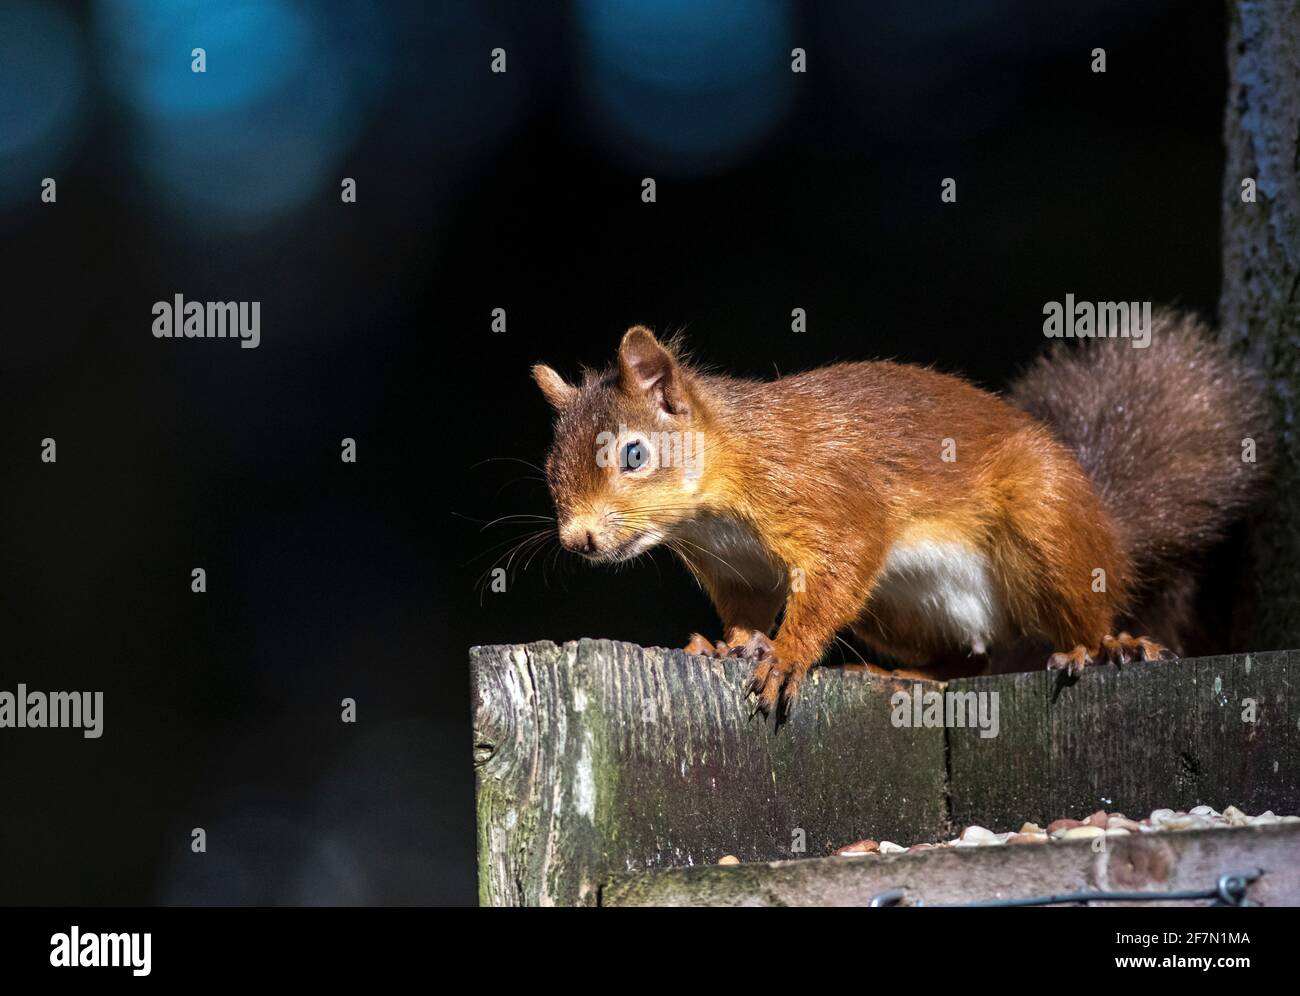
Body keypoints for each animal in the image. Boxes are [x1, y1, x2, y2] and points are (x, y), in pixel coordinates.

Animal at [532, 312, 1269, 718]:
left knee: (1083, 613)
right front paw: (731, 644)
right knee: (969, 661)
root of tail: (1107, 530)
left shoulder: (825, 496)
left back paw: (1109, 645)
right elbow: (748, 607)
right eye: (550, 466)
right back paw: (902, 675)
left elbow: (841, 561)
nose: (580, 539)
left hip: (1048, 523)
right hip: (901, 609)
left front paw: (788, 654)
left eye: (633, 453)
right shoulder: (733, 566)